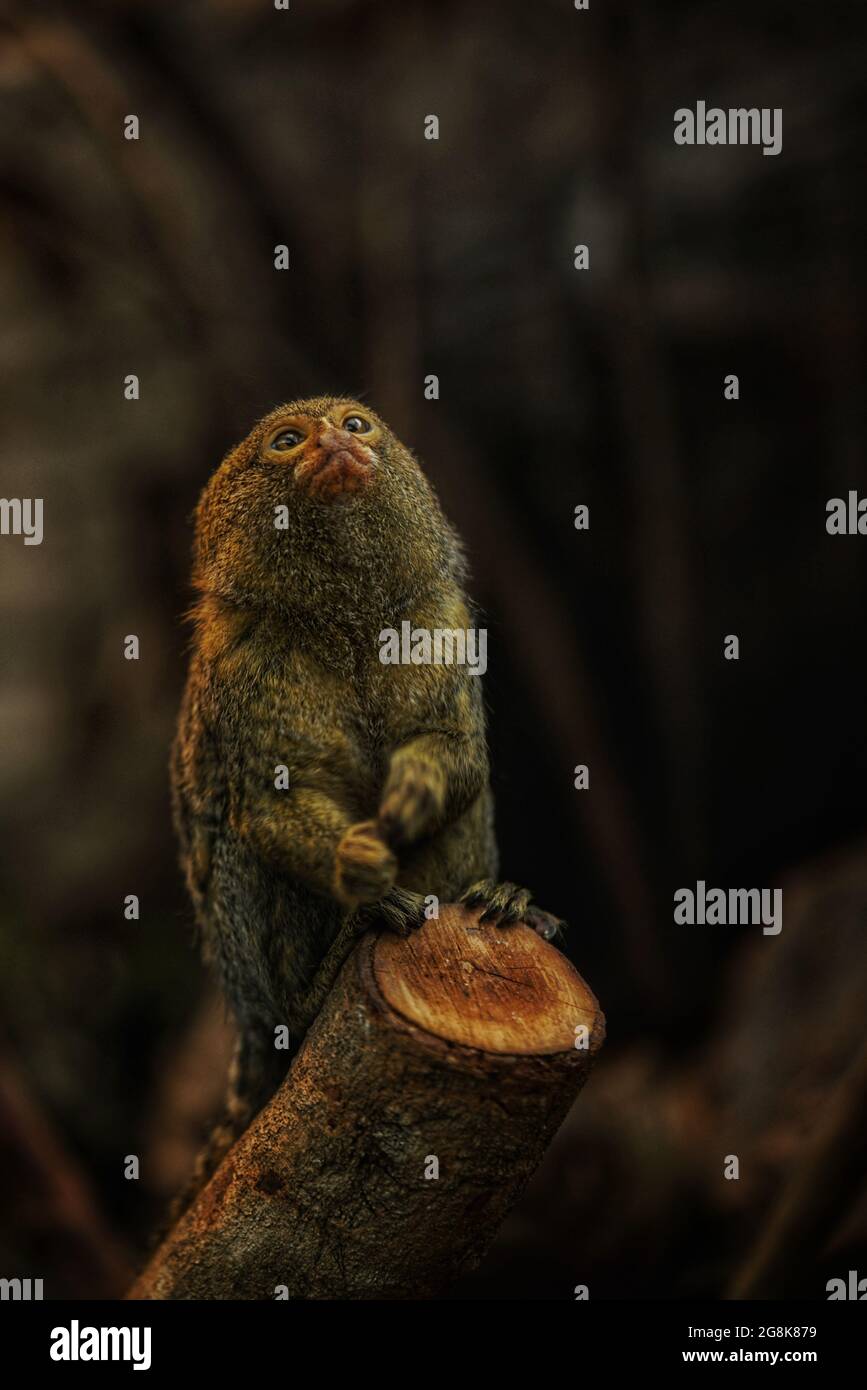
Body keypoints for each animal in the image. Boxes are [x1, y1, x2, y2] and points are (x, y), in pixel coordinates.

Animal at [170, 396, 563, 1206]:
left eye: (354, 425)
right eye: (288, 442)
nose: (331, 442)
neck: (343, 620)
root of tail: (245, 1023)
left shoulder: (439, 617)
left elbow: (457, 753)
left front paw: (415, 790)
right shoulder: (246, 667)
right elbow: (269, 803)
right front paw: (360, 864)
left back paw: (506, 900)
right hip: (250, 978)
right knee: (240, 858)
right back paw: (317, 984)